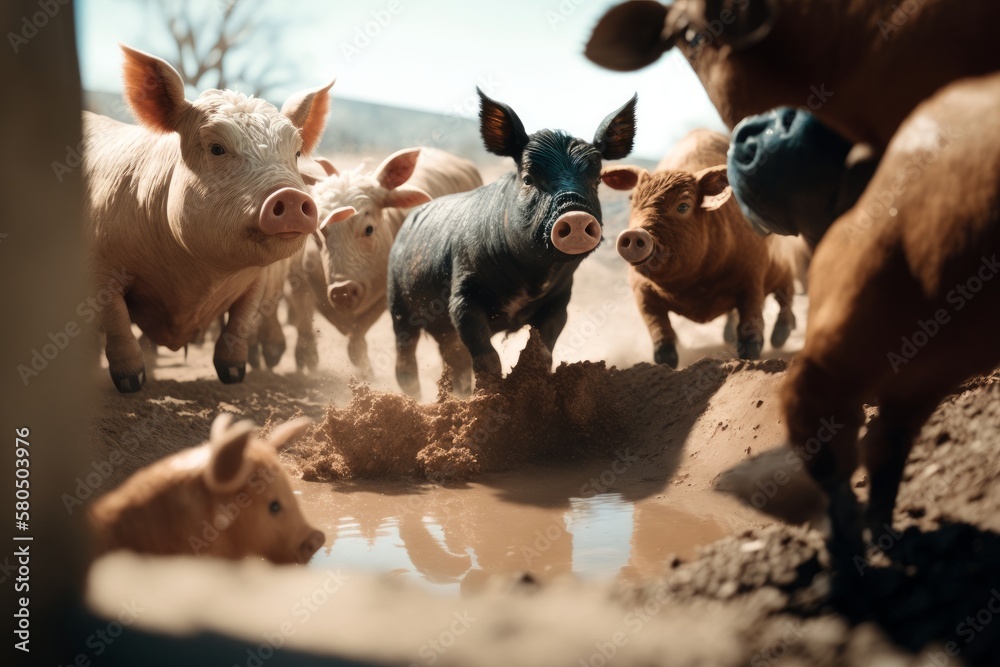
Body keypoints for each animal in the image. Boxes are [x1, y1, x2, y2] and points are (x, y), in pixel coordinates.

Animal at [83, 45, 332, 392]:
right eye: (216, 148)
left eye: (295, 154)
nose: (292, 196)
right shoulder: (102, 263)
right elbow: (116, 318)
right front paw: (132, 383)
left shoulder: (258, 278)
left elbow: (243, 317)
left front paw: (234, 374)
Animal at [387, 88, 637, 398]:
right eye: (529, 178)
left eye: (596, 180)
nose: (576, 215)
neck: (530, 277)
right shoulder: (462, 295)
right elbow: (486, 356)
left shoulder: (560, 303)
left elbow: (541, 352)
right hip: (397, 304)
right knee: (406, 359)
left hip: (440, 330)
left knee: (454, 360)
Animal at [601, 129, 803, 366]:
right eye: (633, 201)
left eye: (683, 206)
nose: (635, 233)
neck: (694, 286)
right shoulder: (639, 289)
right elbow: (657, 325)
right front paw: (666, 362)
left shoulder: (753, 274)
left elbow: (751, 315)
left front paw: (749, 354)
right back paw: (729, 336)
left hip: (785, 268)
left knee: (786, 299)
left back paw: (779, 340)